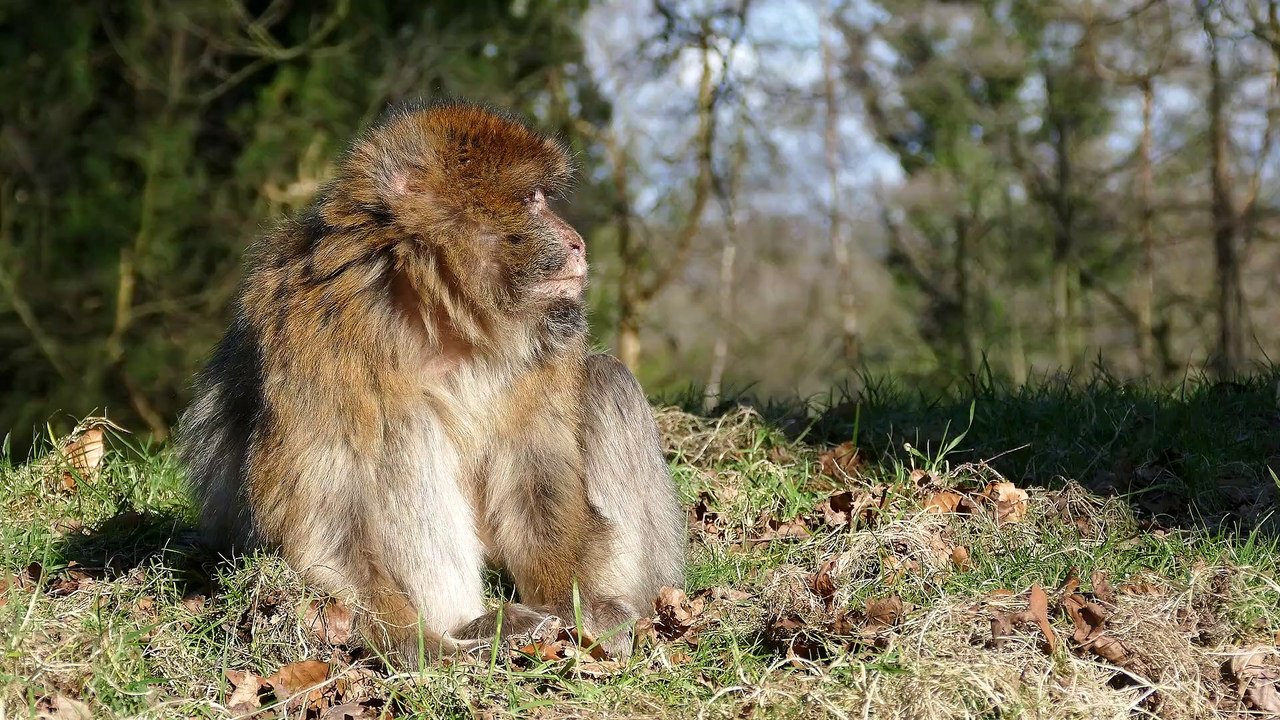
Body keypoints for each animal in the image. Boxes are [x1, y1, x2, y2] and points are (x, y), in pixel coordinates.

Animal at [176, 100, 685, 664]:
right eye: (532, 201)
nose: (577, 242)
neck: (440, 316)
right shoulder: (317, 334)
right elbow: (328, 525)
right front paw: (420, 647)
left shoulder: (547, 341)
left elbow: (536, 470)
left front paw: (575, 602)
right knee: (405, 428)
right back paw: (468, 626)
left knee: (606, 380)